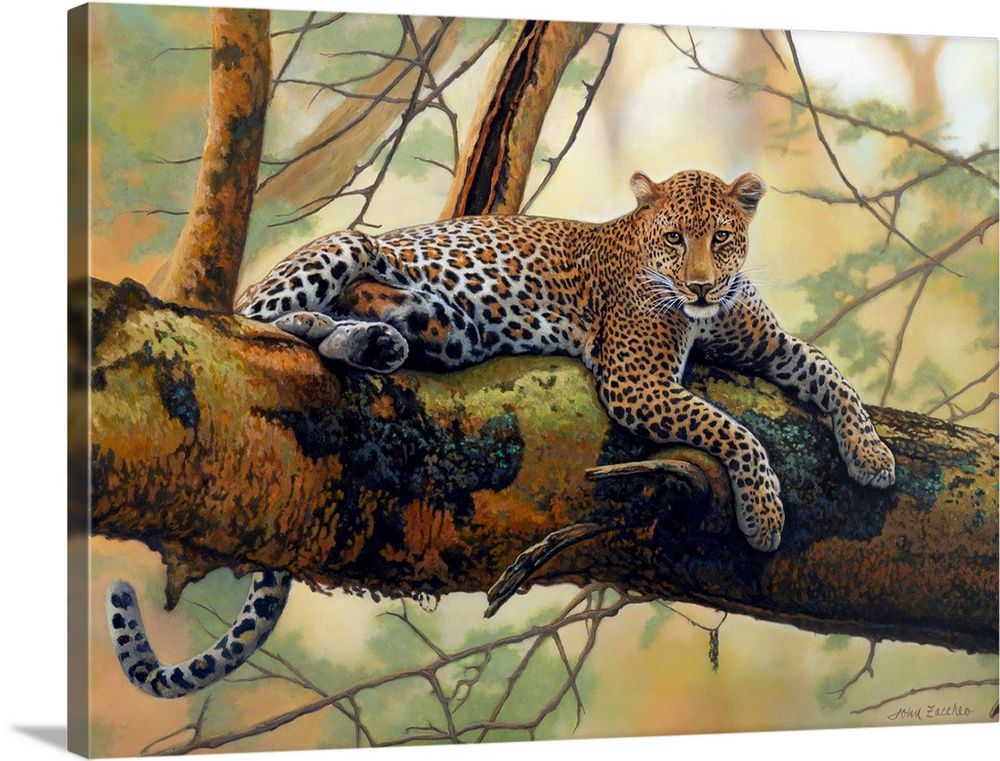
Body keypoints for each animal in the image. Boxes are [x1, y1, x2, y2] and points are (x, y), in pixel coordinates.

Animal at [108, 169, 895, 697]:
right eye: (675, 238)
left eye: (722, 238)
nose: (701, 286)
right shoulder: (634, 380)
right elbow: (733, 429)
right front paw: (764, 513)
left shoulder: (766, 345)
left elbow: (828, 370)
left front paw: (873, 455)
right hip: (338, 252)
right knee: (254, 322)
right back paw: (337, 333)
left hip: (450, 329)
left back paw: (371, 341)